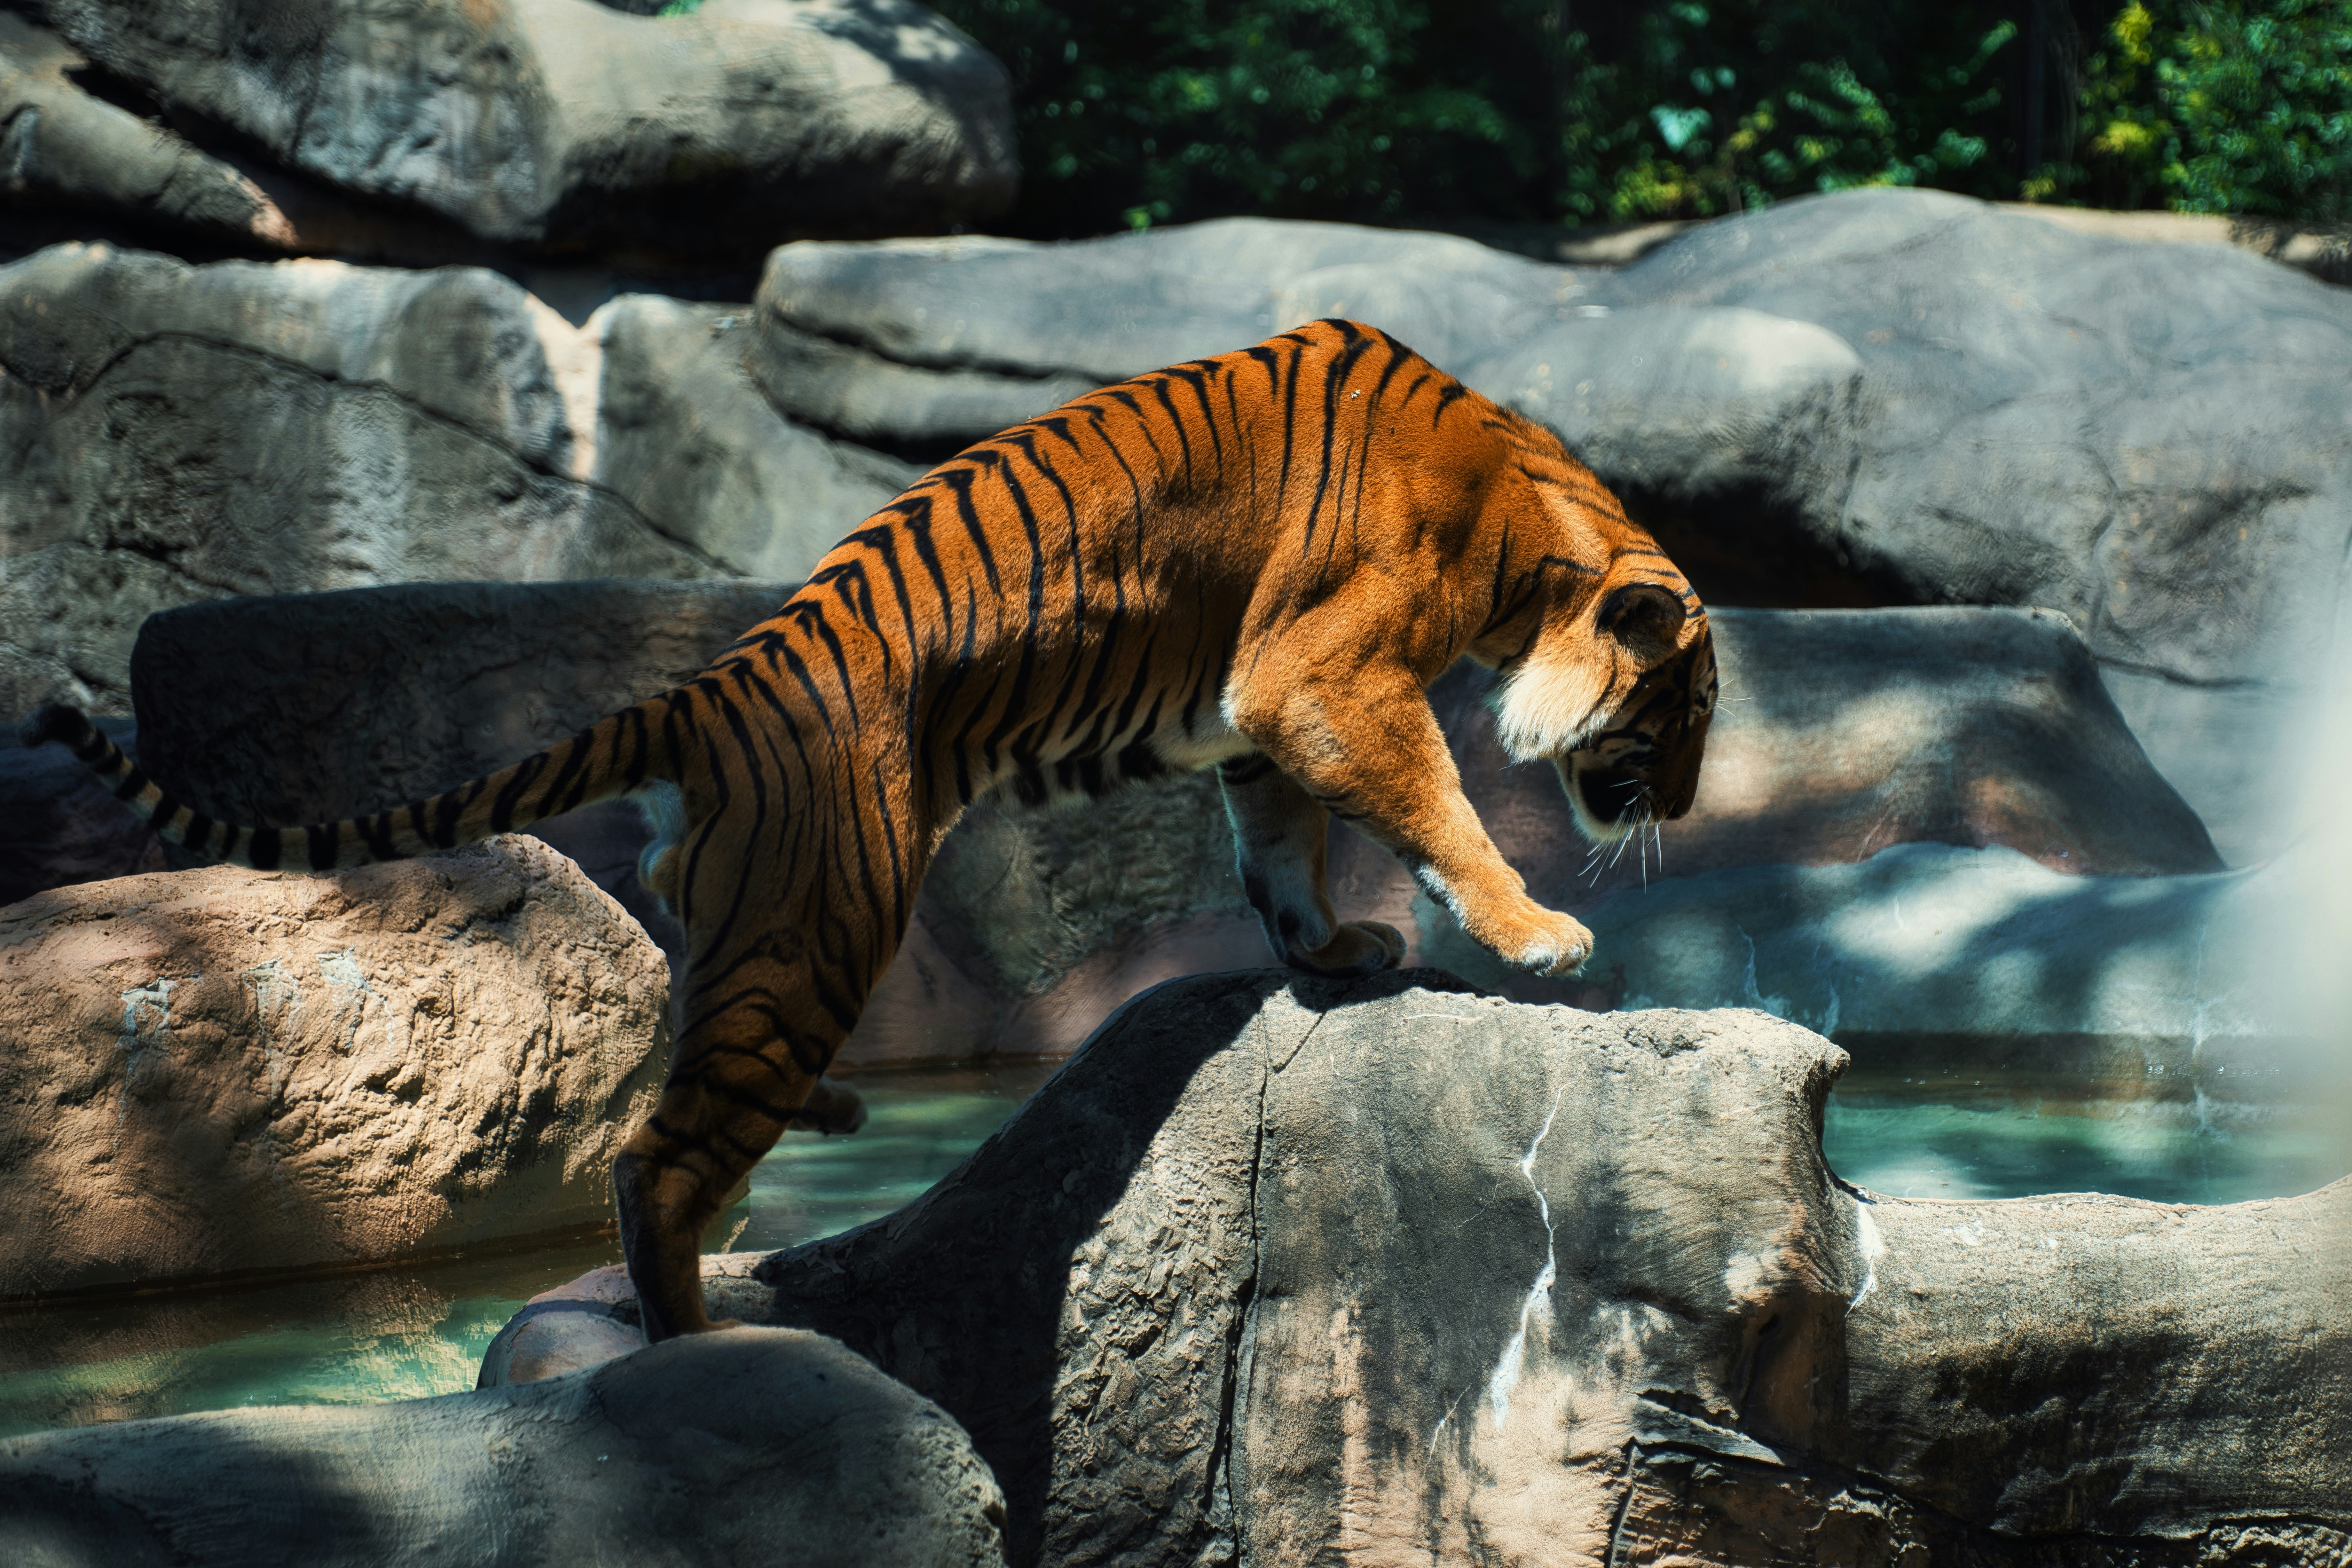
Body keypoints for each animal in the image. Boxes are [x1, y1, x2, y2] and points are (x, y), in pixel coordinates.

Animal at [26, 318, 1717, 1341]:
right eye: (1689, 710)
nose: (1696, 802)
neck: (1528, 532)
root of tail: (711, 688)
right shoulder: (1323, 674)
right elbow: (1434, 803)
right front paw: (1536, 934)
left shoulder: (1261, 712)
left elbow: (1278, 844)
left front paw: (1338, 946)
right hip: (823, 918)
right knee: (658, 1160)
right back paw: (694, 1337)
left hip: (753, 916)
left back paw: (822, 1124)